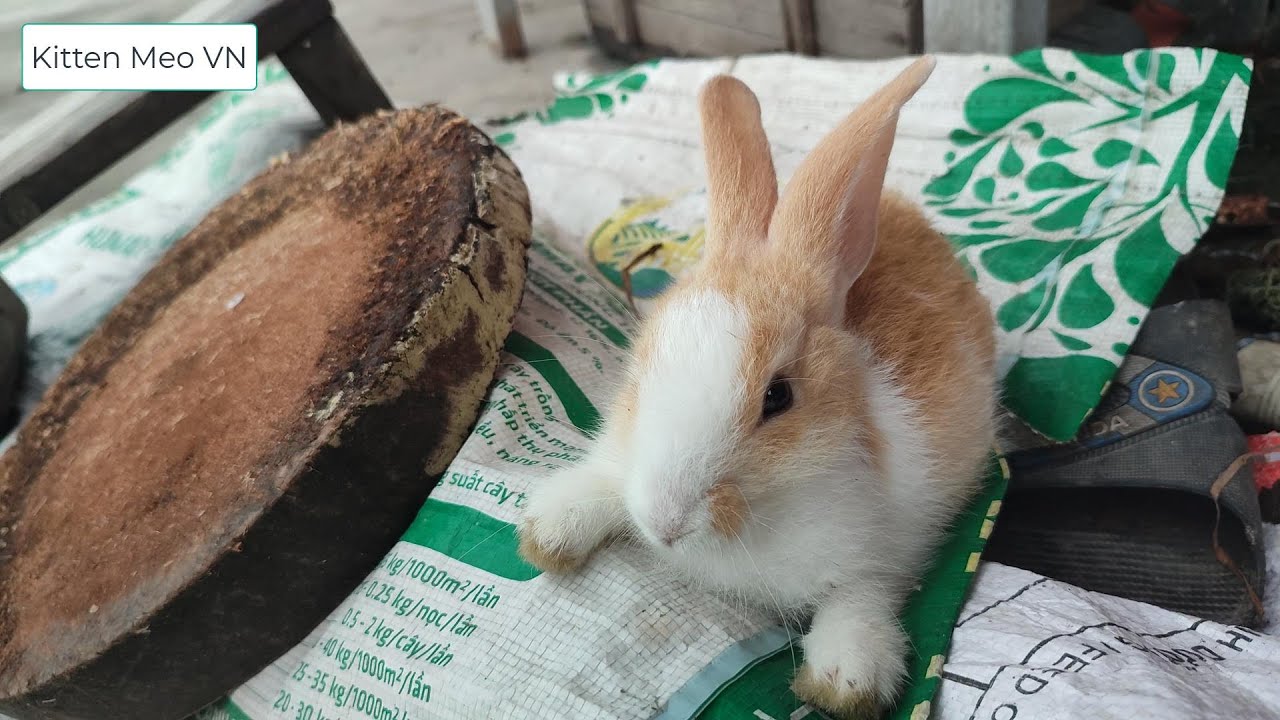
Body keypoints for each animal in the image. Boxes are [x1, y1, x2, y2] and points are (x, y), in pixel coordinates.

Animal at [516, 55, 997, 720]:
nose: (665, 523)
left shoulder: (882, 555)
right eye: (642, 371)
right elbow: (606, 483)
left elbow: (860, 597)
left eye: (779, 398)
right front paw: (548, 535)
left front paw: (843, 682)